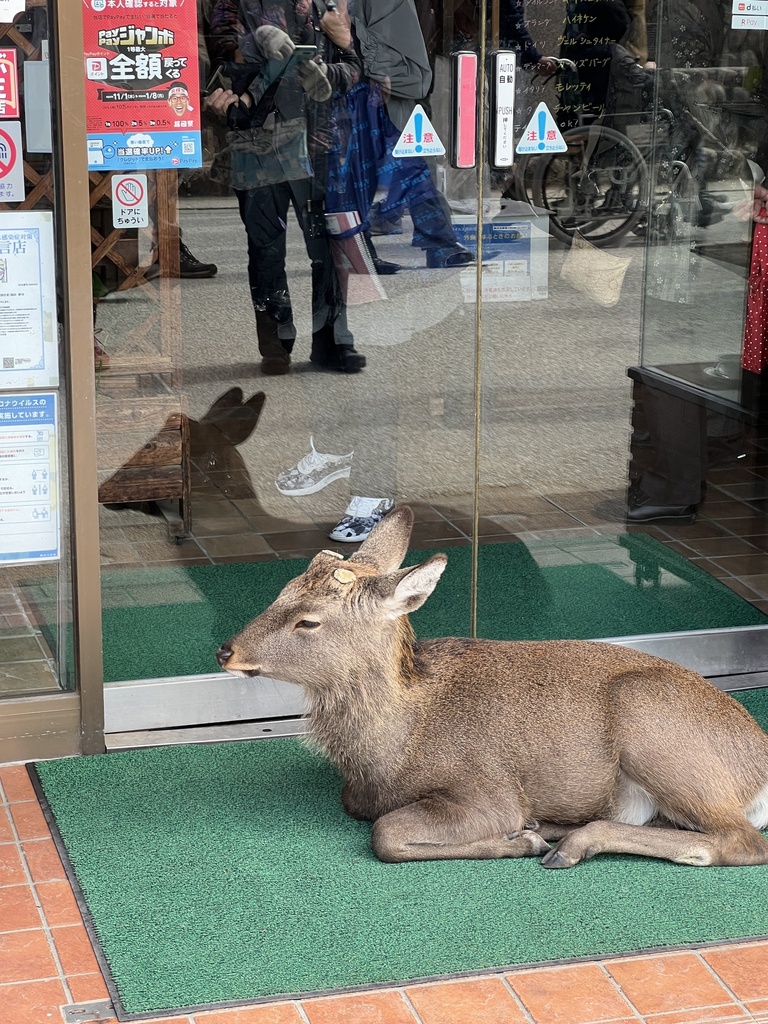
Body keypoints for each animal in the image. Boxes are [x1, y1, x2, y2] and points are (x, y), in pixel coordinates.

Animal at [216, 505, 768, 869]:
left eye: (307, 621)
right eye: (281, 591)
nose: (226, 651)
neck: (390, 748)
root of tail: (759, 769)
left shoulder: (488, 788)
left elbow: (385, 834)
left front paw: (519, 839)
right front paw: (527, 835)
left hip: (651, 722)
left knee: (740, 841)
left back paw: (568, 843)